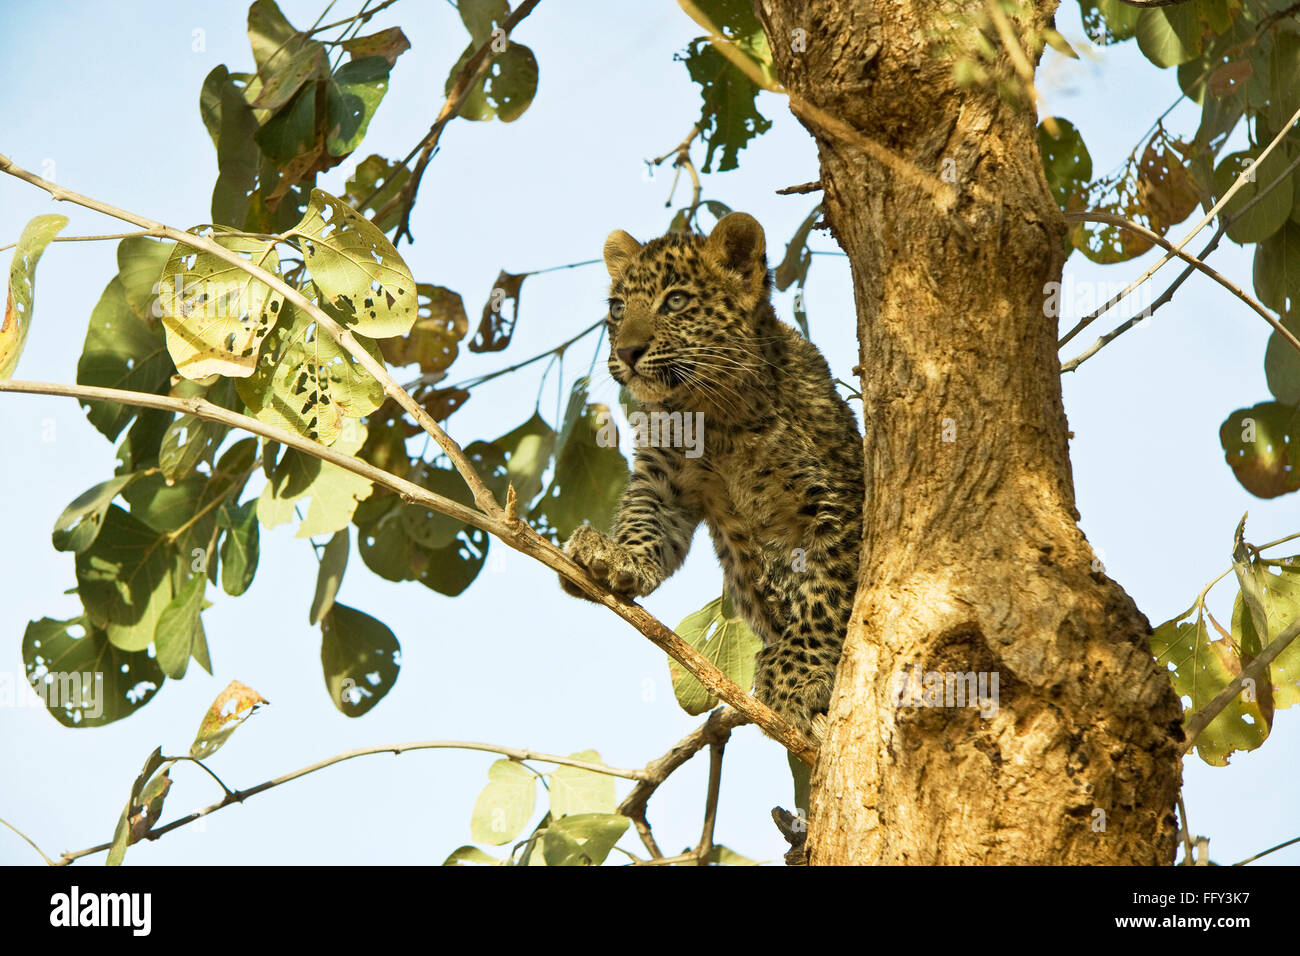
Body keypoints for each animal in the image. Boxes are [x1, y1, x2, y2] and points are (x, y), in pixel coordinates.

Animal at [559, 212, 865, 743]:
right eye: (618, 308)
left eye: (676, 301)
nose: (628, 351)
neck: (712, 411)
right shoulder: (665, 480)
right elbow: (647, 522)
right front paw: (614, 556)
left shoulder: (832, 500)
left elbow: (825, 588)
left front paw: (797, 676)